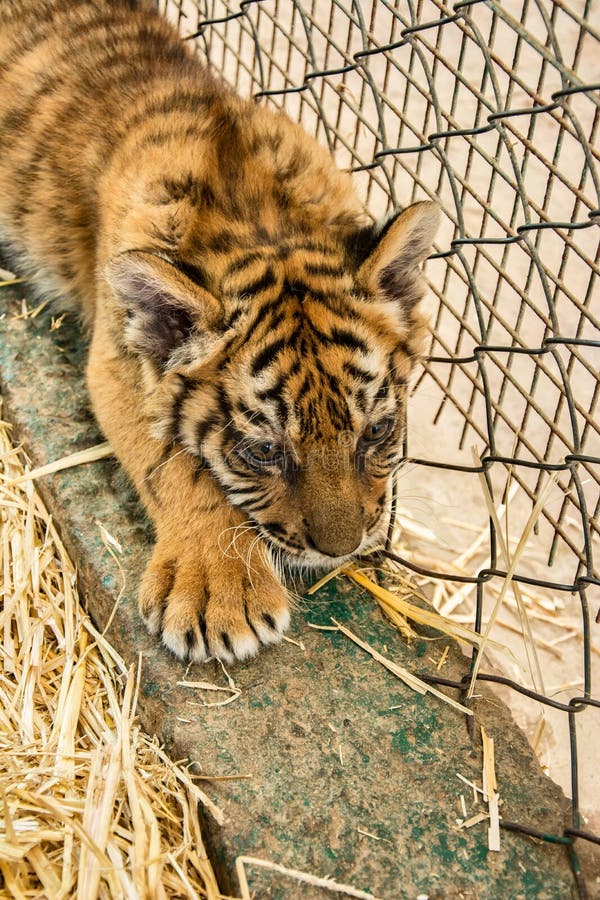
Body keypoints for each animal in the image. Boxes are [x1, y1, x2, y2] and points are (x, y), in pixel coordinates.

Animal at [0, 0, 439, 664]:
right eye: (263, 452)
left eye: (378, 431)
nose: (342, 550)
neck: (256, 215)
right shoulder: (117, 358)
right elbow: (171, 463)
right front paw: (219, 590)